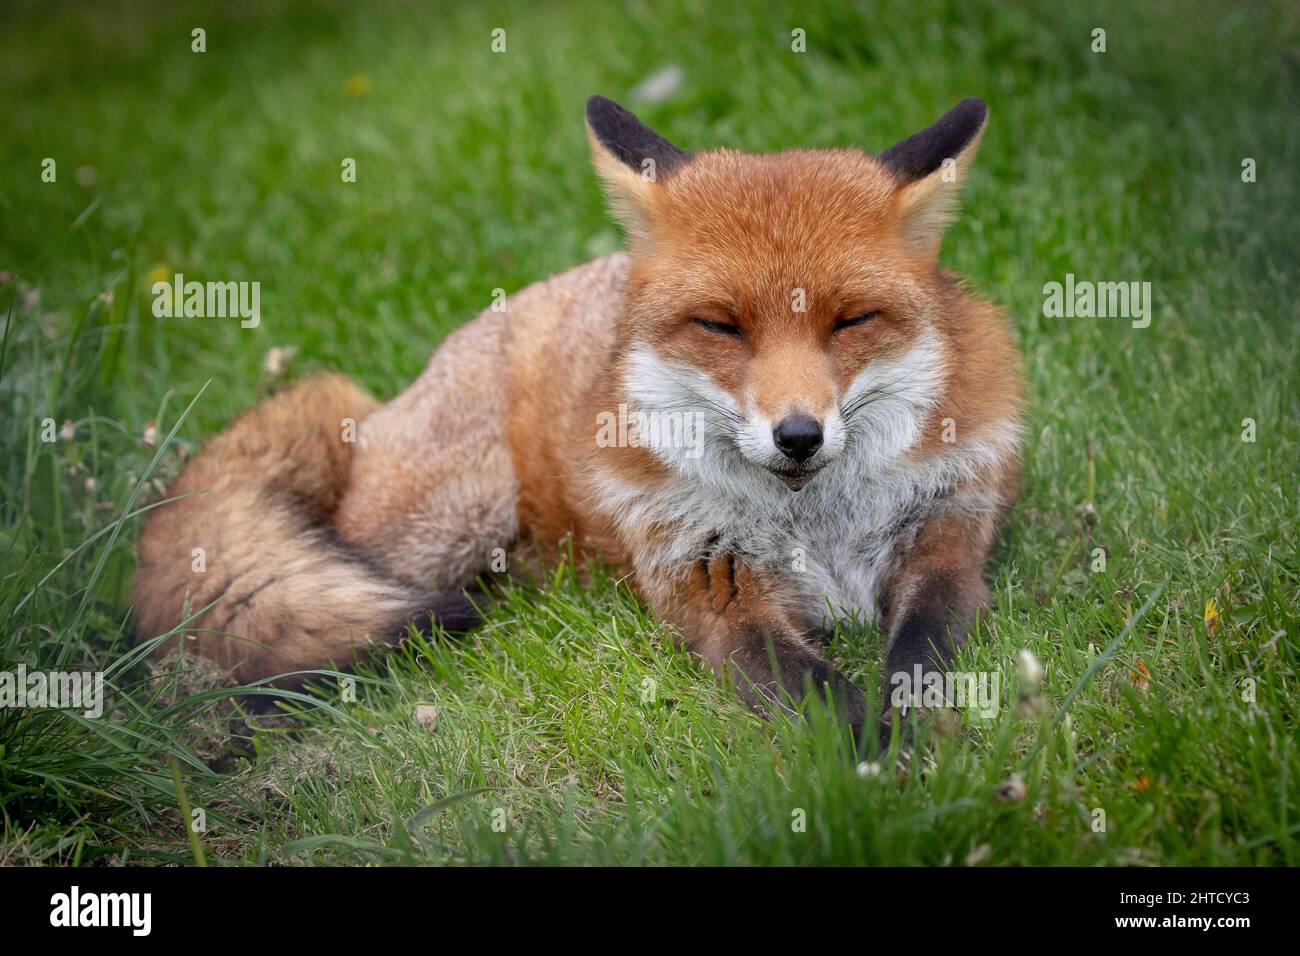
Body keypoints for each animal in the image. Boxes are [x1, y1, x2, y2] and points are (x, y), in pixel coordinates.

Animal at [132, 95, 1023, 747]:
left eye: (851, 321)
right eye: (721, 327)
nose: (798, 435)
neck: (819, 524)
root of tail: (389, 397)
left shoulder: (950, 536)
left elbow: (923, 654)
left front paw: (917, 734)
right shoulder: (711, 586)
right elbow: (809, 688)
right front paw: (870, 754)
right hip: (442, 527)